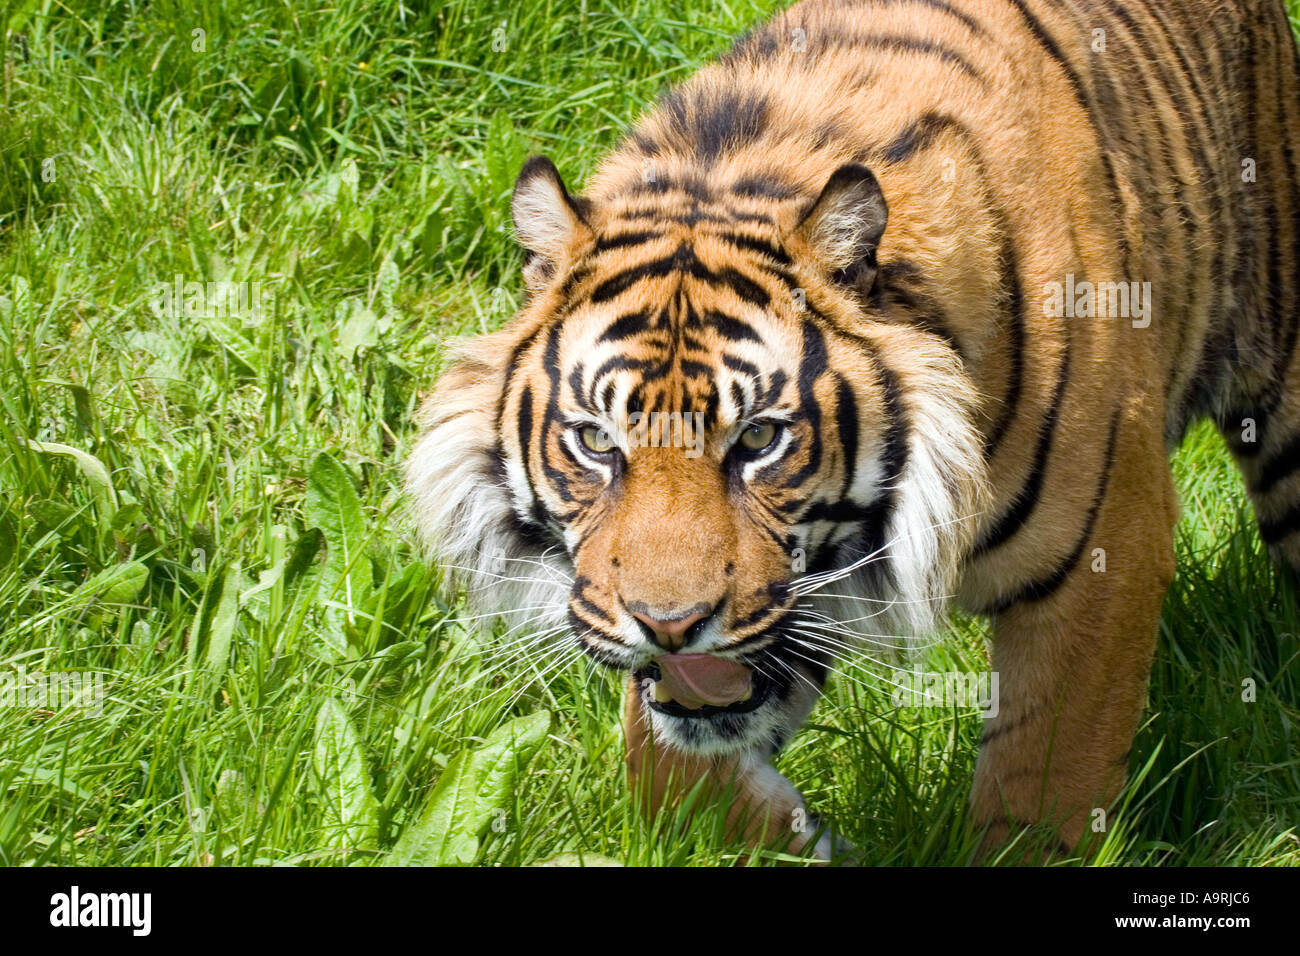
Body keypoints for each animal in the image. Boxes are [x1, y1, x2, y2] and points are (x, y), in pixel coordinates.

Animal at [405, 0, 1300, 861]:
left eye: (758, 440)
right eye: (597, 442)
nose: (670, 624)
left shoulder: (1104, 554)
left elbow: (1045, 779)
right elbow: (667, 771)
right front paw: (793, 838)